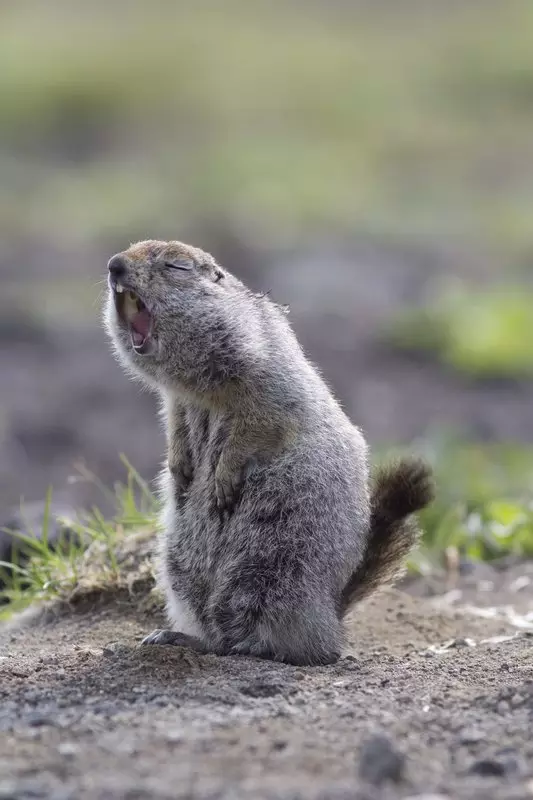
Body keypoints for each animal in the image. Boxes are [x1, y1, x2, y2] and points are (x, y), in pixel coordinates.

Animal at [103, 241, 432, 664]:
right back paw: (179, 637)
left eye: (176, 266)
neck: (201, 391)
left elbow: (261, 423)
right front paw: (179, 467)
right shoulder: (176, 400)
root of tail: (330, 614)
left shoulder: (265, 379)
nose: (114, 265)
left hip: (268, 566)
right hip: (180, 568)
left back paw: (255, 647)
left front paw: (222, 478)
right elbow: (174, 424)